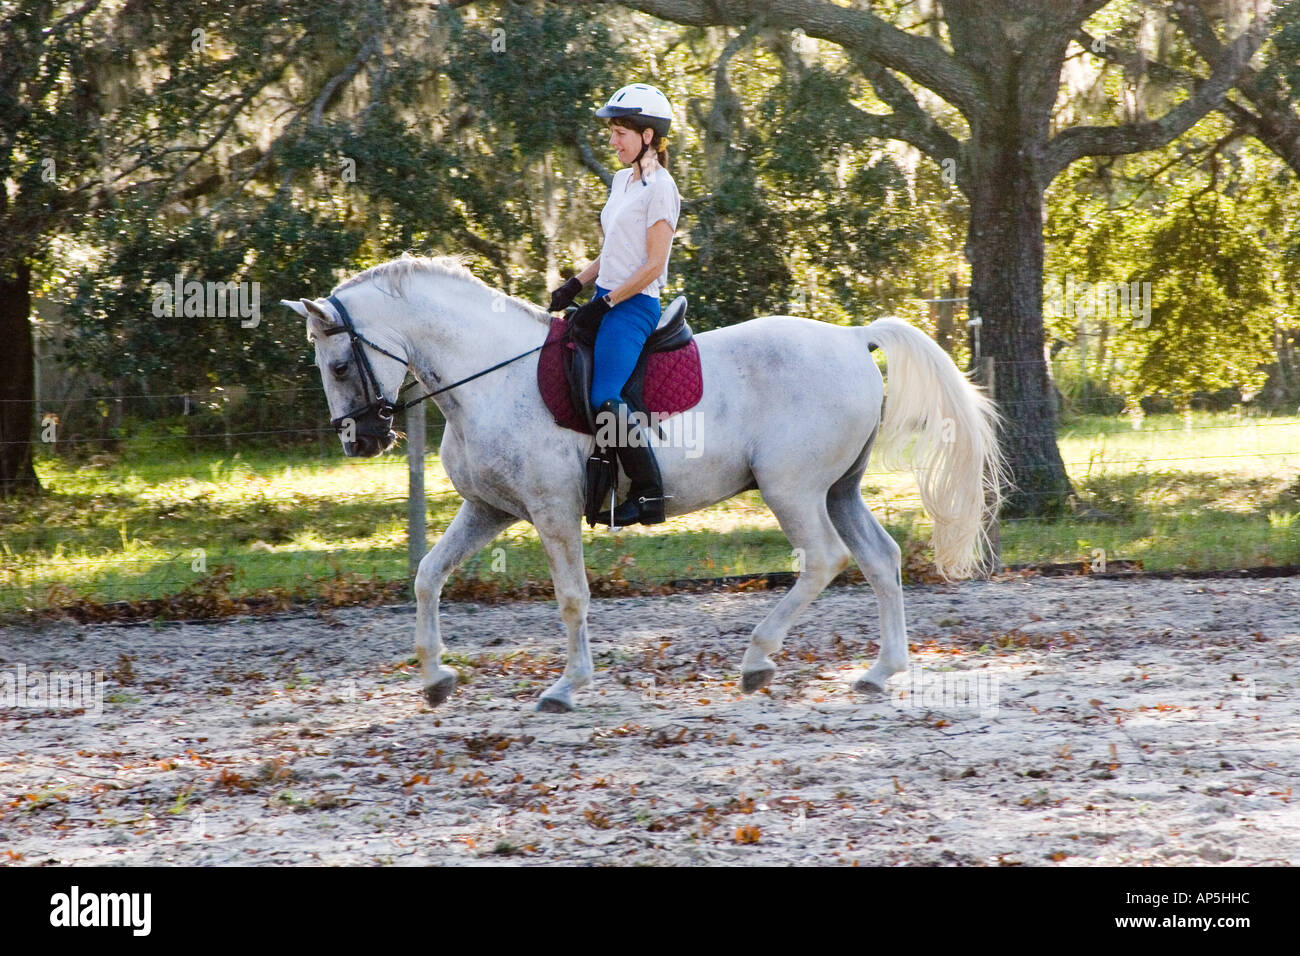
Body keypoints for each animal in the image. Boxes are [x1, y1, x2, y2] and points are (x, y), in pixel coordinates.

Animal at [282, 254, 1006, 713]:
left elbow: (572, 599)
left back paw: (758, 660)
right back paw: (881, 674)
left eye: (340, 364)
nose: (360, 440)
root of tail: (854, 338)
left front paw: (566, 687)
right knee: (881, 559)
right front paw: (436, 678)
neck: (491, 376)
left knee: (825, 560)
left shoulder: (552, 512)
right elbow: (428, 576)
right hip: (839, 489)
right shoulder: (488, 509)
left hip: (792, 489)